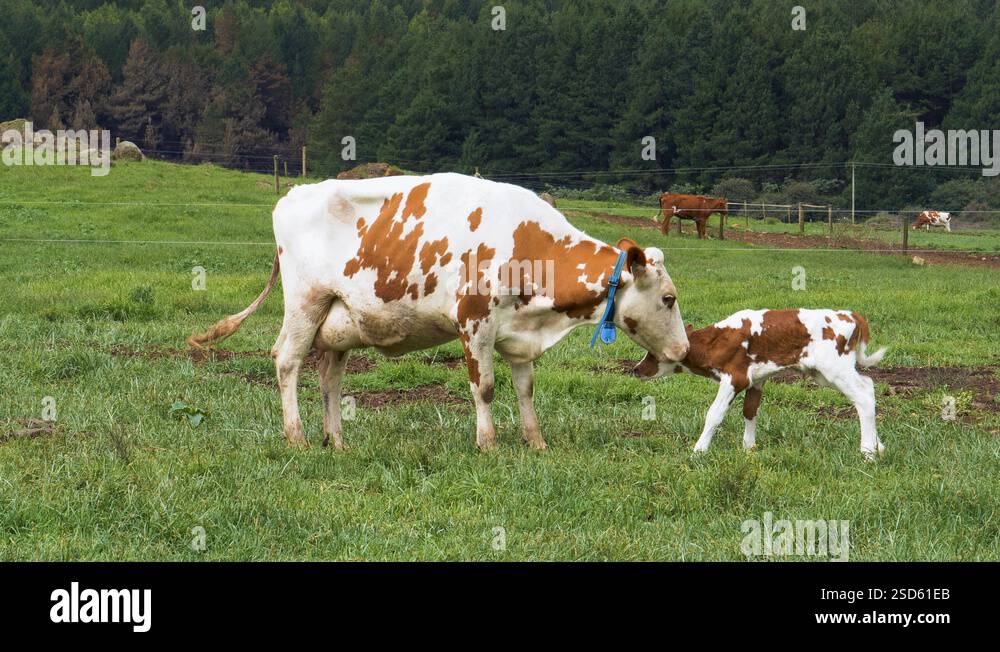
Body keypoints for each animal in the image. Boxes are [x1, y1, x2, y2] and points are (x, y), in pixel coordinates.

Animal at [189, 173, 690, 451]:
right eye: (668, 299)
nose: (684, 350)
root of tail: (293, 194)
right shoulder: (475, 321)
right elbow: (485, 387)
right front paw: (488, 444)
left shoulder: (519, 333)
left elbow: (525, 390)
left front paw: (537, 443)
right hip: (305, 303)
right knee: (287, 361)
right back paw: (297, 438)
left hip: (339, 320)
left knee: (329, 377)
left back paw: (338, 441)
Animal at [633, 309, 887, 458]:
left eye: (652, 353)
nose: (635, 370)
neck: (715, 342)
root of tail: (850, 314)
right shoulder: (756, 379)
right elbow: (750, 410)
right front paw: (749, 448)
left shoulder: (735, 377)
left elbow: (714, 414)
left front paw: (699, 450)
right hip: (827, 372)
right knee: (869, 386)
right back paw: (879, 446)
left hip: (835, 368)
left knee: (863, 397)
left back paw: (867, 452)